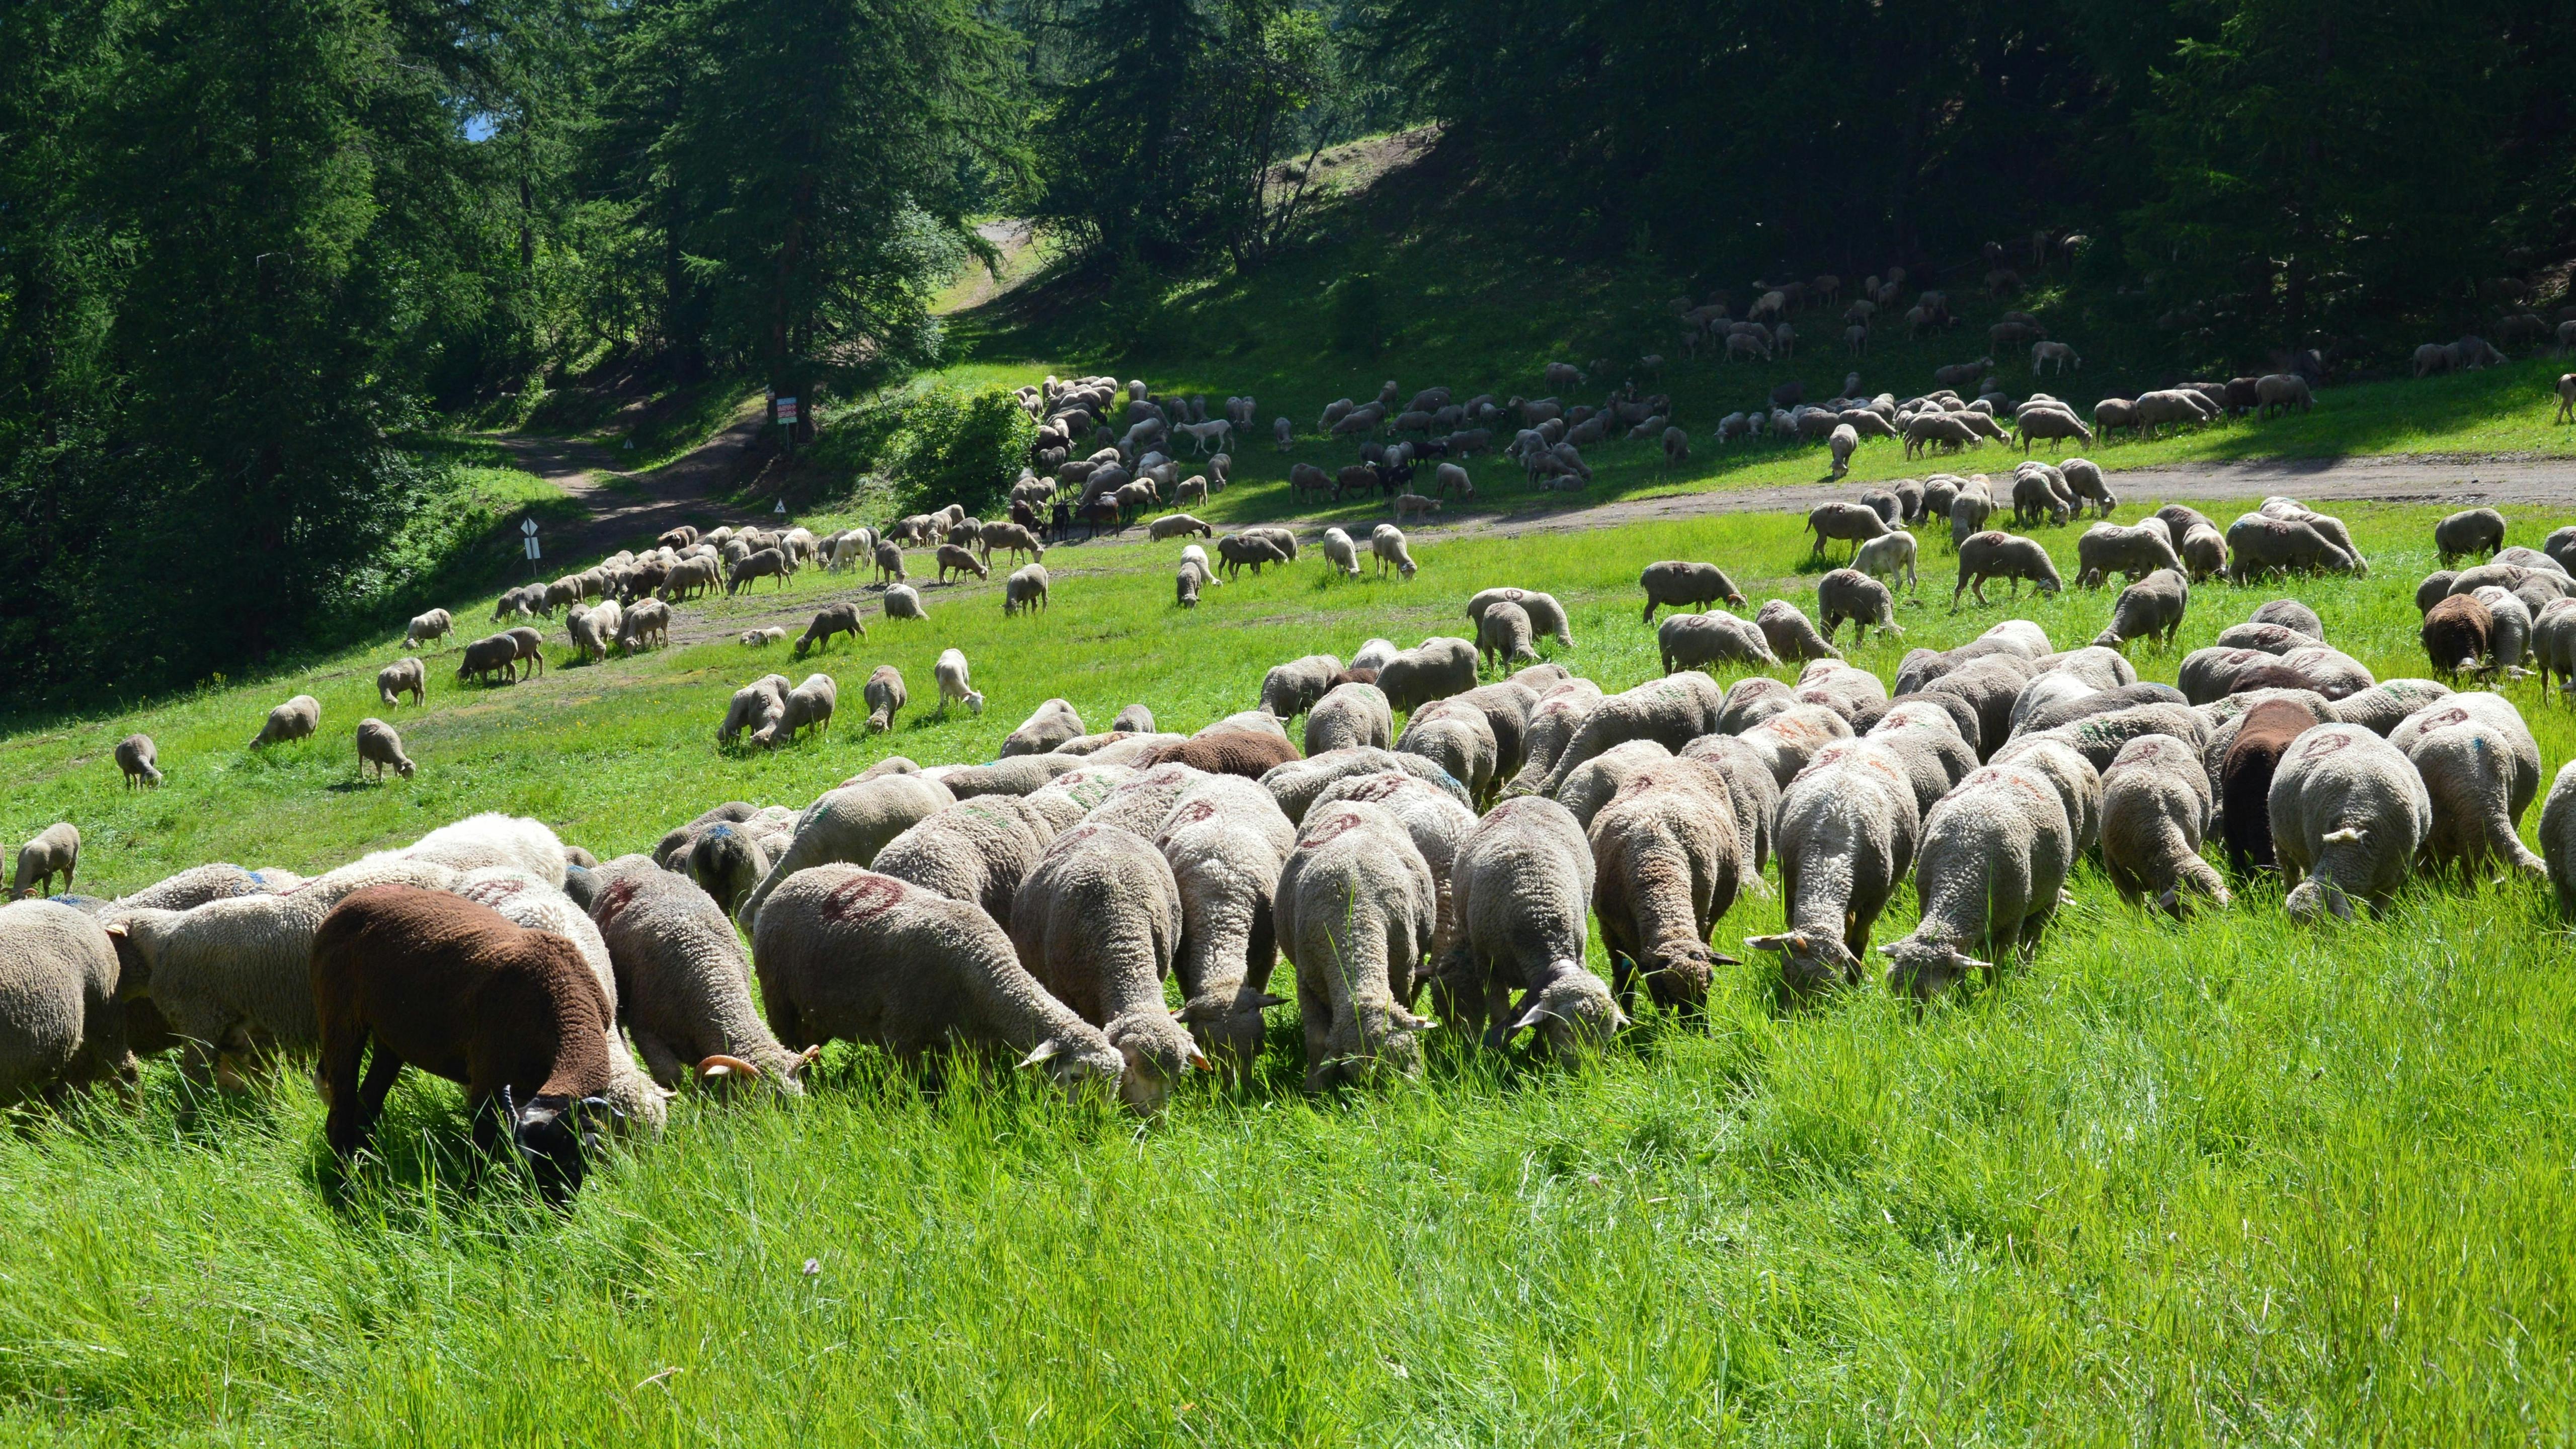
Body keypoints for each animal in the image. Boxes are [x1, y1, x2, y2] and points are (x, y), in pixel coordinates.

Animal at [12, 824, 79, 898]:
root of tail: (69, 824)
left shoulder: (48, 872)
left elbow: (46, 887)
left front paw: (47, 897)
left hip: (74, 858)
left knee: (71, 876)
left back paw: (66, 893)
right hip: (64, 862)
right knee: (66, 875)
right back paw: (70, 891)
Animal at [750, 865, 1122, 1101]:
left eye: (1116, 1084)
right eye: (1077, 1077)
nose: (1089, 1128)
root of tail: (792, 878)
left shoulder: (972, 1045)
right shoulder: (901, 1034)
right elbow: (907, 1089)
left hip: (818, 1013)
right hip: (779, 999)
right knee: (790, 1043)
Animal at [1746, 740, 1920, 991]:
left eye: (1829, 984)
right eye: (1786, 972)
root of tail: (1859, 741)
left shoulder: (1875, 900)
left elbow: (1858, 940)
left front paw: (1855, 981)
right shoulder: (1789, 890)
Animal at [1817, 569, 1901, 647]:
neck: (1881, 599)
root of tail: (1833, 571)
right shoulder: (1860, 617)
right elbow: (1860, 634)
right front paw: (1858, 648)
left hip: (1839, 611)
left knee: (1832, 628)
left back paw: (1830, 644)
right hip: (1825, 603)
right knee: (1824, 625)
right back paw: (1826, 641)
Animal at [1953, 531, 2062, 610]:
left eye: (2056, 592)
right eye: (2050, 590)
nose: (2050, 604)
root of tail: (1965, 542)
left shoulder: (2036, 577)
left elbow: (2035, 588)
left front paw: (2028, 597)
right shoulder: (2013, 573)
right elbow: (2014, 588)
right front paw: (2012, 599)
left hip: (1982, 572)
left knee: (1975, 587)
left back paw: (1985, 603)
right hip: (1966, 568)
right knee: (1959, 589)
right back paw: (1955, 607)